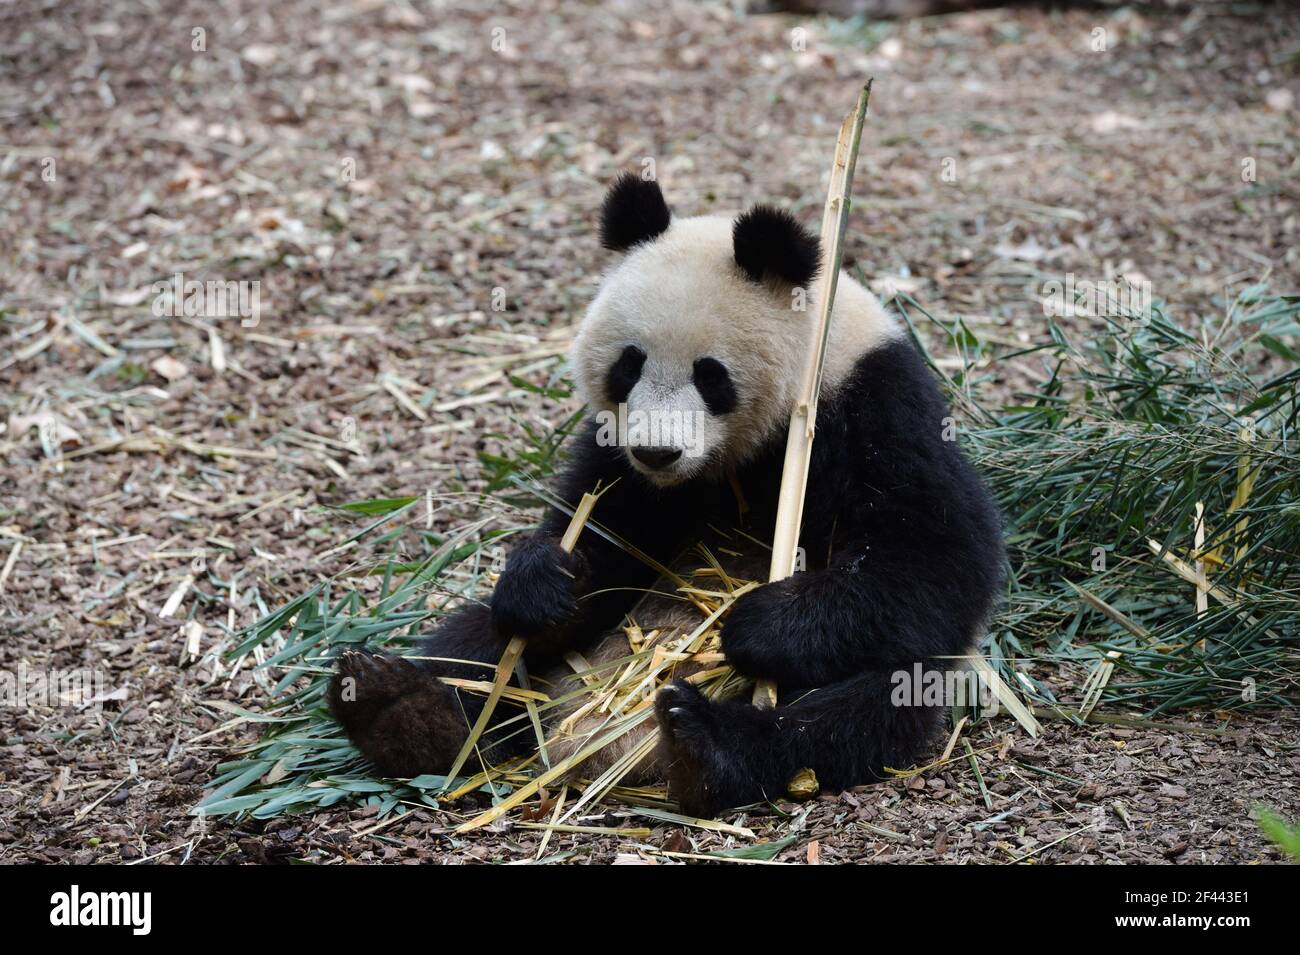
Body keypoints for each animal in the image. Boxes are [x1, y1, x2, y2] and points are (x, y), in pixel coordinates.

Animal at [329, 174, 1004, 818]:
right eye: (628, 364)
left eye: (711, 375)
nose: (657, 452)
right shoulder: (617, 456)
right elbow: (604, 538)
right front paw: (549, 580)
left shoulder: (872, 405)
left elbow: (933, 558)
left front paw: (758, 622)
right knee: (475, 641)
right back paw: (405, 711)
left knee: (860, 705)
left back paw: (706, 745)